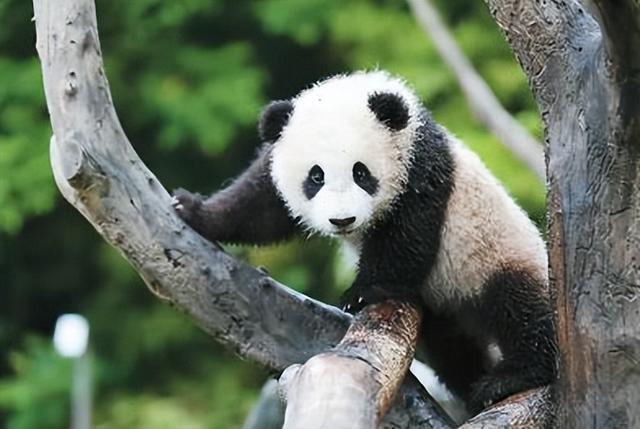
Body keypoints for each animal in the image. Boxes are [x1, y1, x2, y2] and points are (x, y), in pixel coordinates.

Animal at [172, 71, 557, 414]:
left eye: (361, 172)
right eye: (316, 176)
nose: (342, 220)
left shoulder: (421, 171)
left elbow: (406, 238)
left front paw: (362, 292)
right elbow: (261, 207)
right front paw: (193, 211)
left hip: (497, 255)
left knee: (522, 308)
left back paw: (509, 379)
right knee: (453, 349)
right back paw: (473, 384)